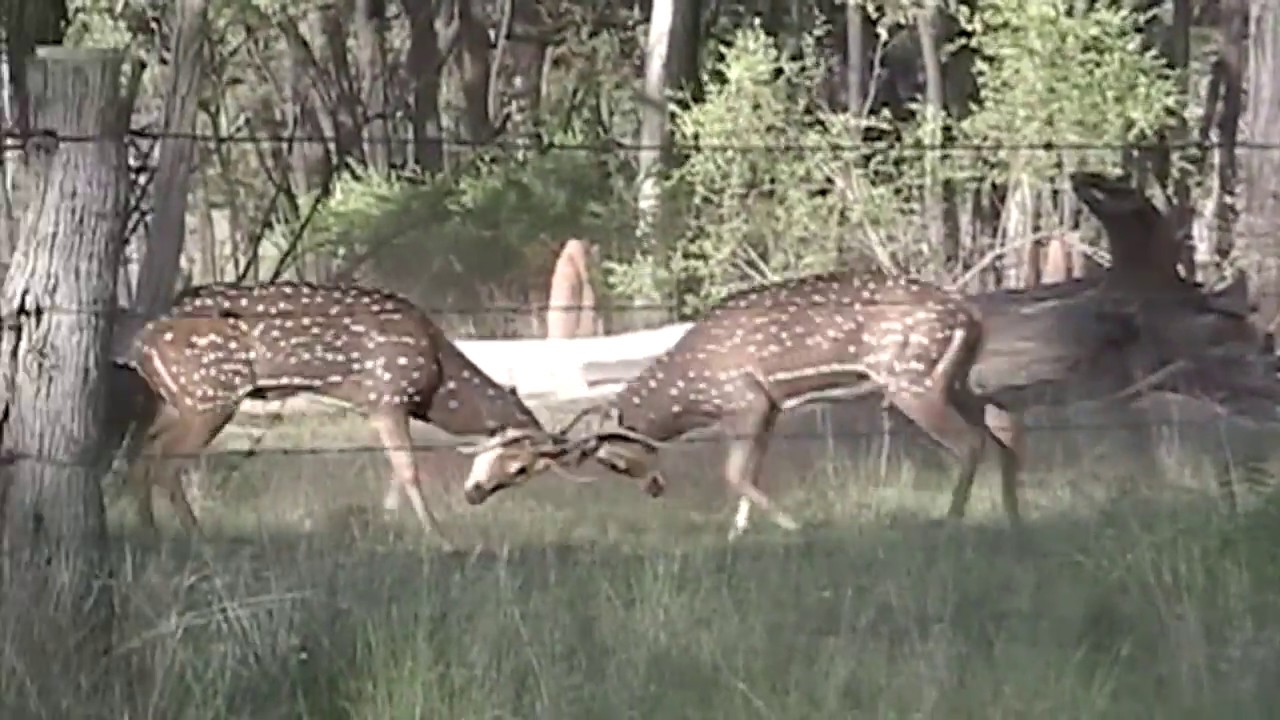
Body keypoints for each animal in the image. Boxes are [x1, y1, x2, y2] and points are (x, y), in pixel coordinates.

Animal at [113, 281, 559, 545]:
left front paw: (390, 523)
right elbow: (409, 470)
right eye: (519, 465)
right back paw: (197, 537)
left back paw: (150, 532)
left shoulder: (376, 406)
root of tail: (139, 346)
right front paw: (441, 540)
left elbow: (395, 471)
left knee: (141, 453)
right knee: (164, 465)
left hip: (178, 399)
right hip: (211, 394)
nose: (476, 495)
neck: (436, 382)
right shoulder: (387, 394)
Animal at [458, 271, 1024, 539]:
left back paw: (952, 519)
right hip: (953, 379)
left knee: (970, 441)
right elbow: (749, 471)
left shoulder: (744, 398)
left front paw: (793, 526)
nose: (656, 487)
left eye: (614, 461)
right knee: (1003, 421)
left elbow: (734, 473)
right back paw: (1012, 514)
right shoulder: (768, 406)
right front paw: (740, 532)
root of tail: (970, 315)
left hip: (911, 378)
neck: (690, 395)